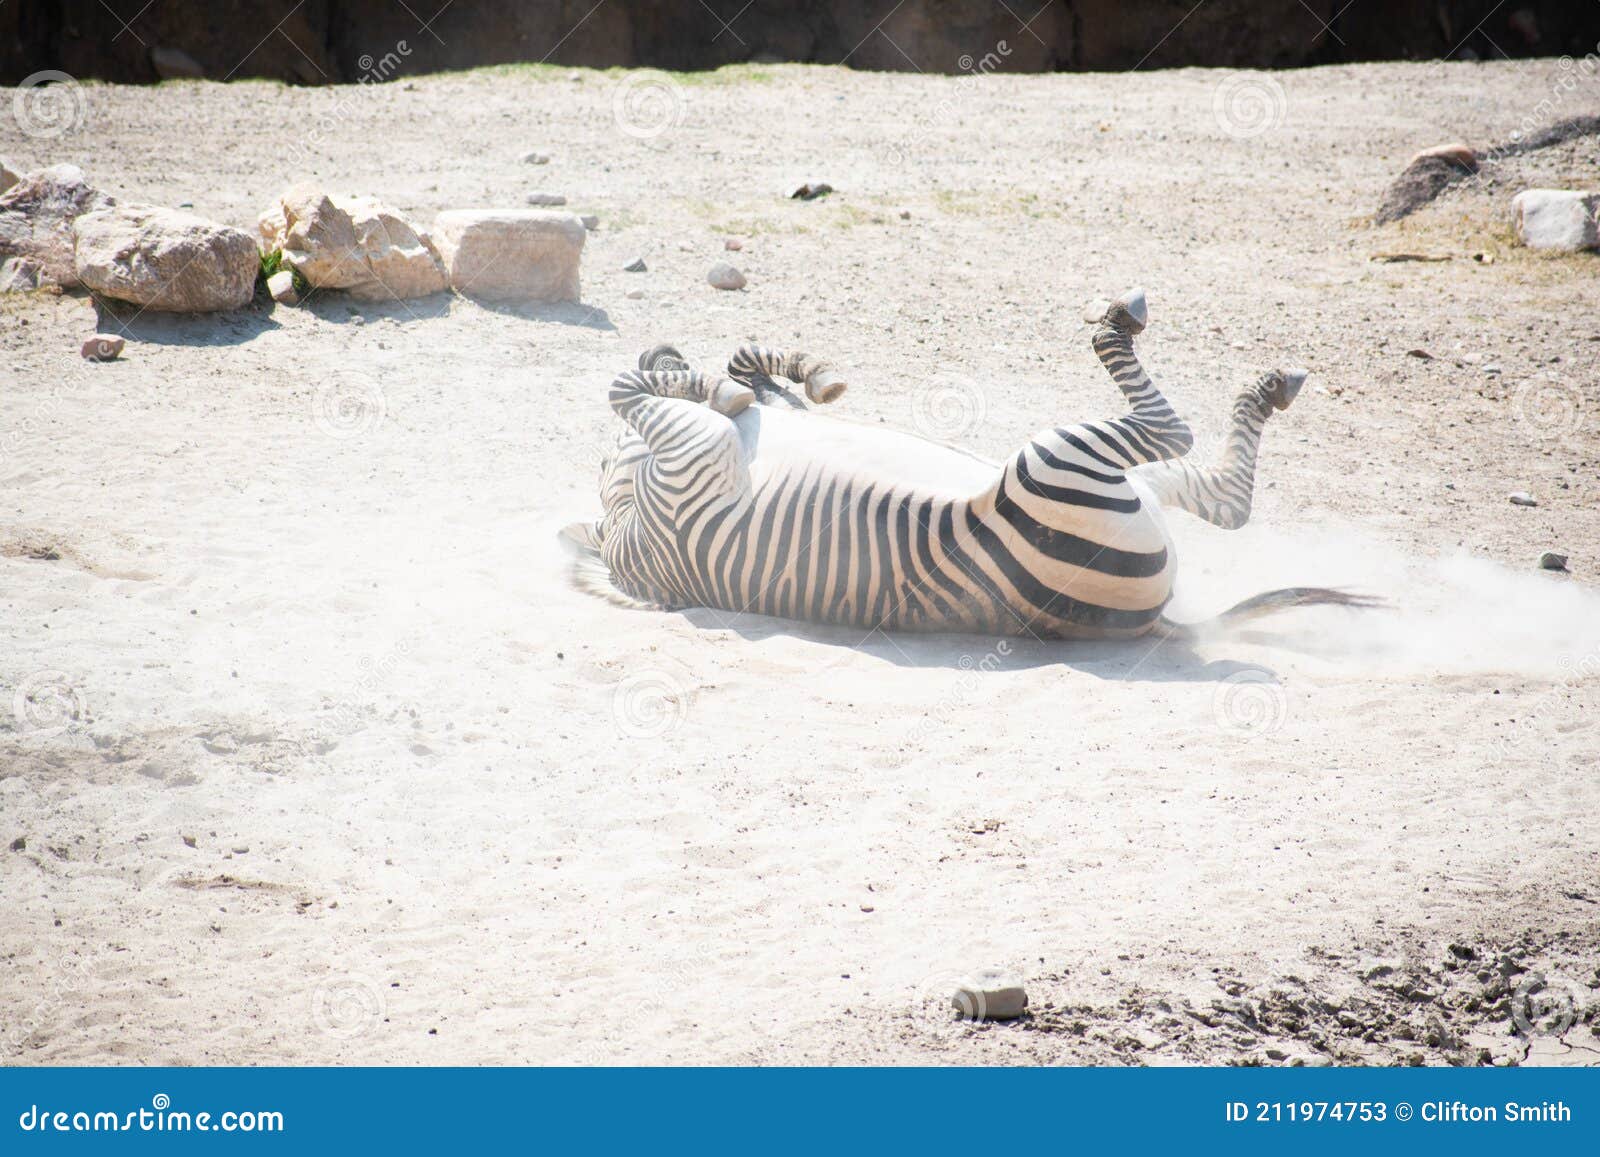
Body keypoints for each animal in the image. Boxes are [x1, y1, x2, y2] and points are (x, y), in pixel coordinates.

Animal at [561, 288, 1375, 640]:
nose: (667, 347)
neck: (626, 520)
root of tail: (1156, 622)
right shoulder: (688, 461)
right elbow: (625, 386)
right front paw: (705, 382)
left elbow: (739, 370)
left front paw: (802, 373)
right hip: (1055, 463)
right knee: (1176, 437)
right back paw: (1123, 321)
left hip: (1123, 482)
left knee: (1226, 499)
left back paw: (1265, 388)